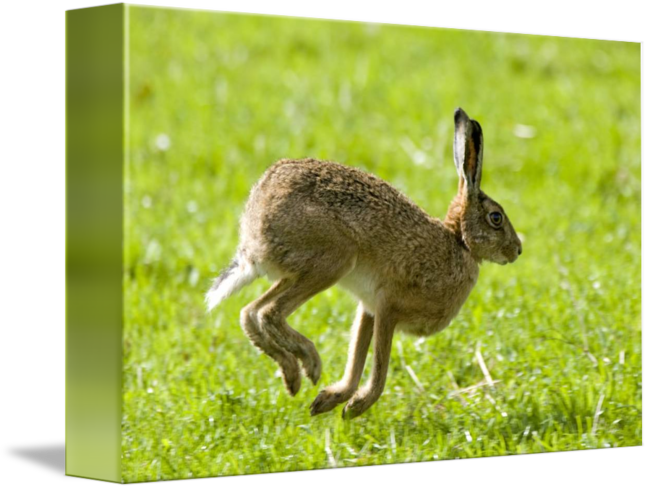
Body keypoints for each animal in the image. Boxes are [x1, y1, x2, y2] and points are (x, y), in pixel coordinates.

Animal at [206, 108, 522, 419]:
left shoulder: (369, 309)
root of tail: (253, 232)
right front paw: (356, 406)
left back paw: (292, 375)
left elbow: (356, 356)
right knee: (269, 312)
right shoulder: (388, 307)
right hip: (331, 262)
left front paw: (331, 400)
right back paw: (310, 362)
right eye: (496, 218)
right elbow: (379, 369)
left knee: (249, 312)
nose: (517, 250)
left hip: (297, 272)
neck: (460, 242)